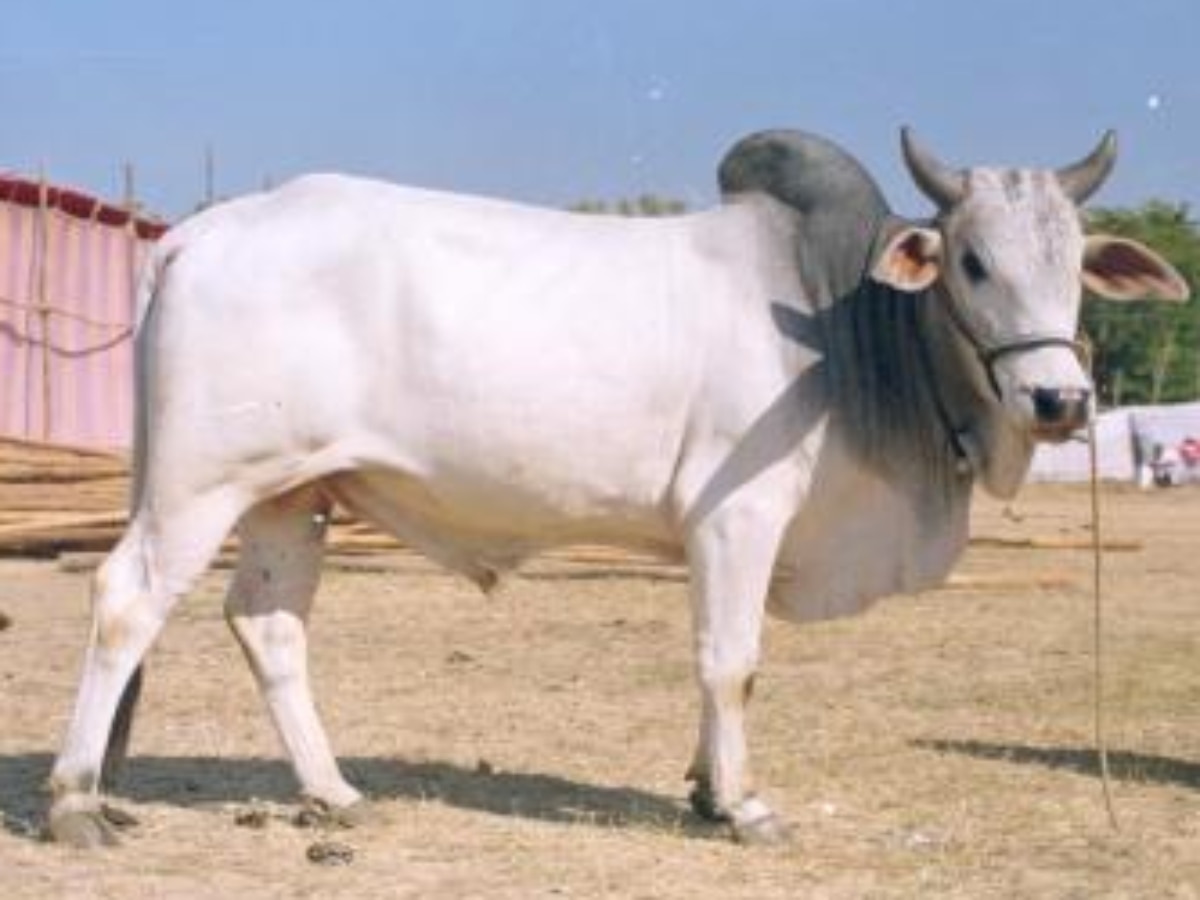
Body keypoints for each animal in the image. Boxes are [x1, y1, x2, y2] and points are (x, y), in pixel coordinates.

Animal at [45, 128, 1188, 847]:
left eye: (1074, 266)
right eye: (972, 261)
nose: (1059, 399)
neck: (843, 322)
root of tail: (194, 232)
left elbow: (720, 667)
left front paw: (705, 787)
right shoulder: (738, 517)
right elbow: (732, 661)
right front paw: (743, 807)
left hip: (294, 494)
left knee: (269, 627)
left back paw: (333, 793)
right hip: (198, 488)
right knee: (125, 601)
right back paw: (74, 801)